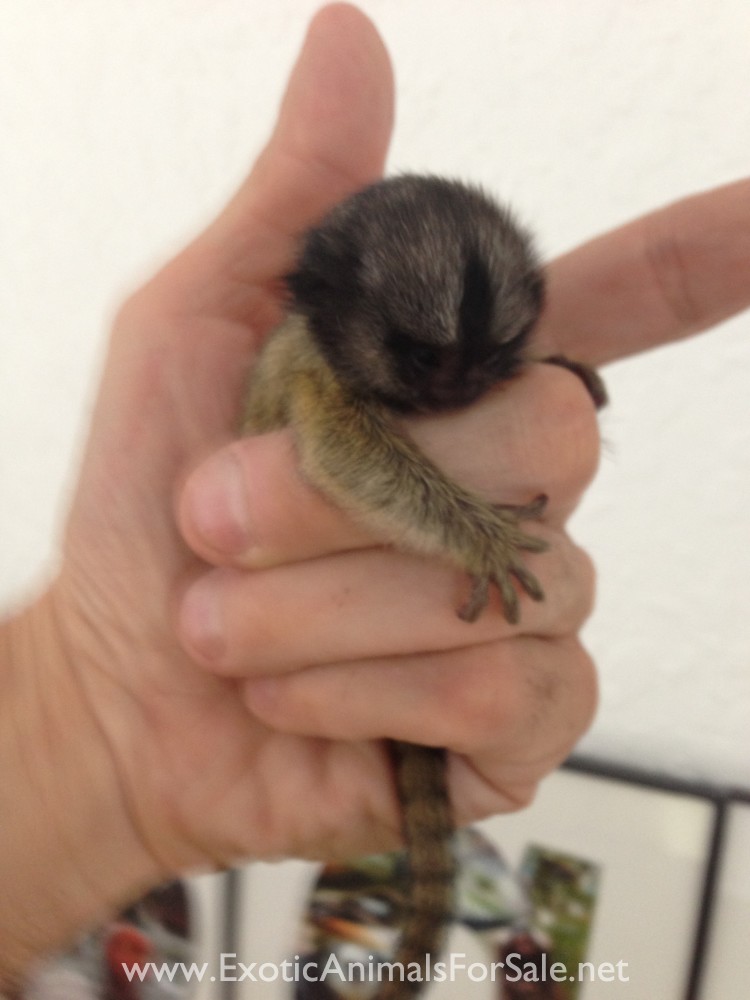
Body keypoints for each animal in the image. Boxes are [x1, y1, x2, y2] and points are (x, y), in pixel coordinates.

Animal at [241, 175, 605, 999]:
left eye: (491, 352)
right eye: (419, 354)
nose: (462, 386)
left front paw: (571, 366)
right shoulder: (313, 368)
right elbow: (344, 448)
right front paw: (480, 536)